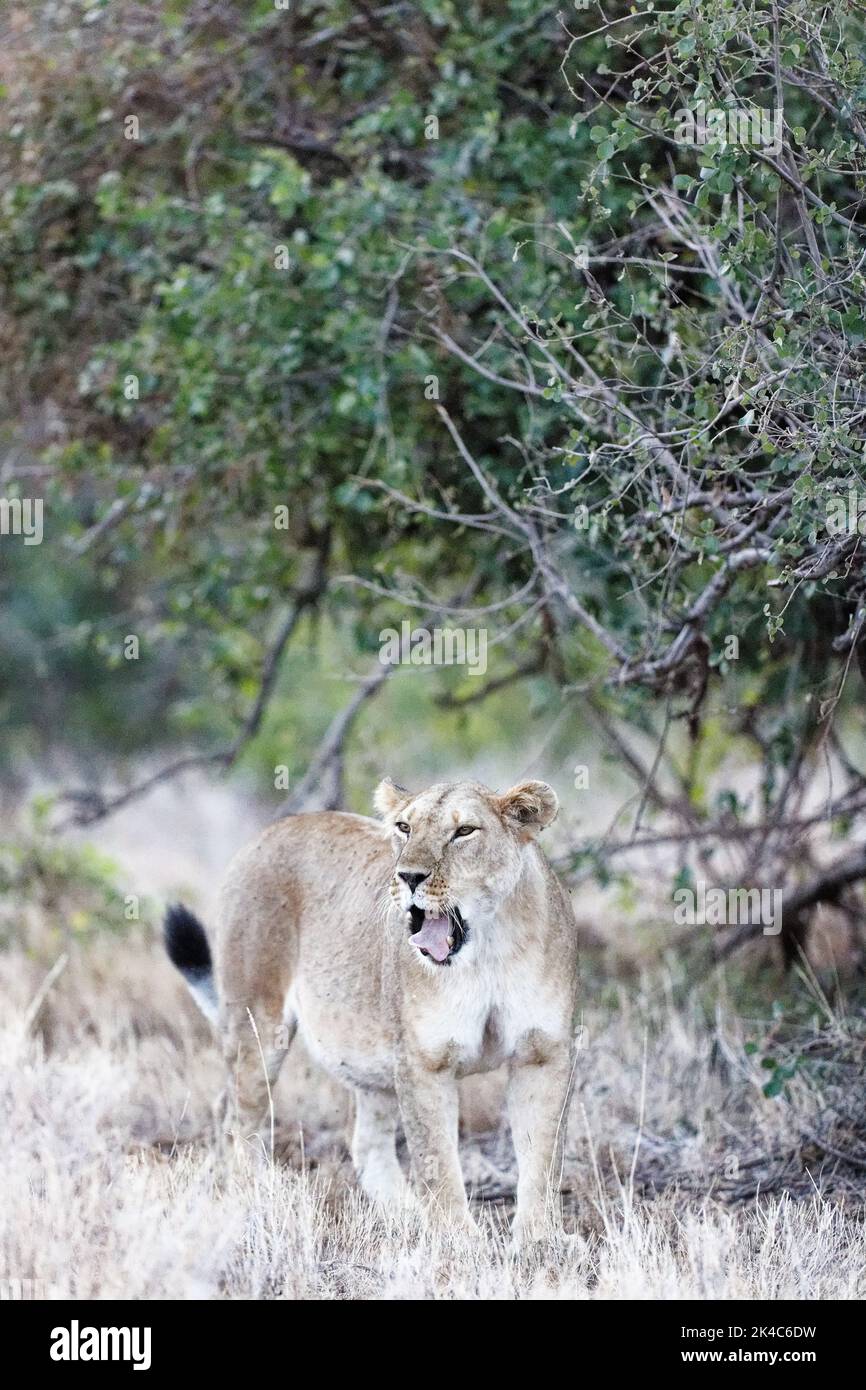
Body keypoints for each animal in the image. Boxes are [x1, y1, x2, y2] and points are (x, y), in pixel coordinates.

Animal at [164, 777, 579, 1242]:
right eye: (404, 827)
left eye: (464, 832)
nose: (409, 876)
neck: (486, 952)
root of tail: (268, 832)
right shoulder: (424, 1061)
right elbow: (436, 1159)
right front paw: (457, 1240)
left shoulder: (543, 1053)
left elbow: (543, 1154)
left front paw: (538, 1238)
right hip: (258, 1023)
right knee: (237, 1113)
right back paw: (249, 1197)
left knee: (363, 1140)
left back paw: (404, 1214)